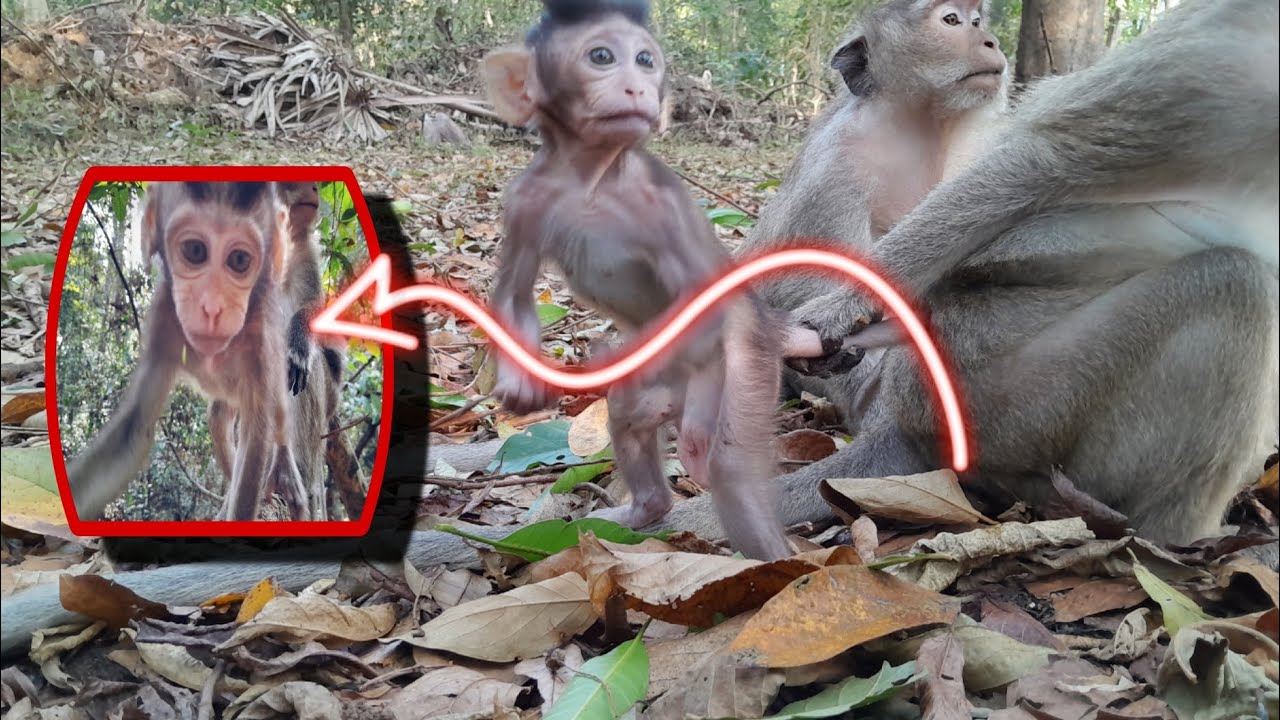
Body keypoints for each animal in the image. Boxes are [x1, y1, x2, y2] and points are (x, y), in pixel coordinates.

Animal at [64, 182, 309, 522]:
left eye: (239, 260)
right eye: (195, 251)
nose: (212, 308)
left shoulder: (260, 338)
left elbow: (257, 442)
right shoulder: (163, 319)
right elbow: (132, 431)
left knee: (275, 411)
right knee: (218, 418)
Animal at [480, 0, 792, 561]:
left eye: (645, 60)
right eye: (602, 57)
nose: (637, 88)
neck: (592, 178)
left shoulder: (660, 204)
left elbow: (703, 304)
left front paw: (603, 360)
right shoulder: (525, 200)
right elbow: (514, 296)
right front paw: (522, 384)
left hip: (748, 363)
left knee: (730, 464)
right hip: (667, 390)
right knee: (629, 410)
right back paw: (646, 507)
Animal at [779, 0, 1279, 546]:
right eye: (953, 23)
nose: (989, 40)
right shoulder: (1224, 56)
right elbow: (1044, 159)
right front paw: (840, 307)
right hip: (1006, 407)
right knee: (1233, 283)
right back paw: (1170, 542)